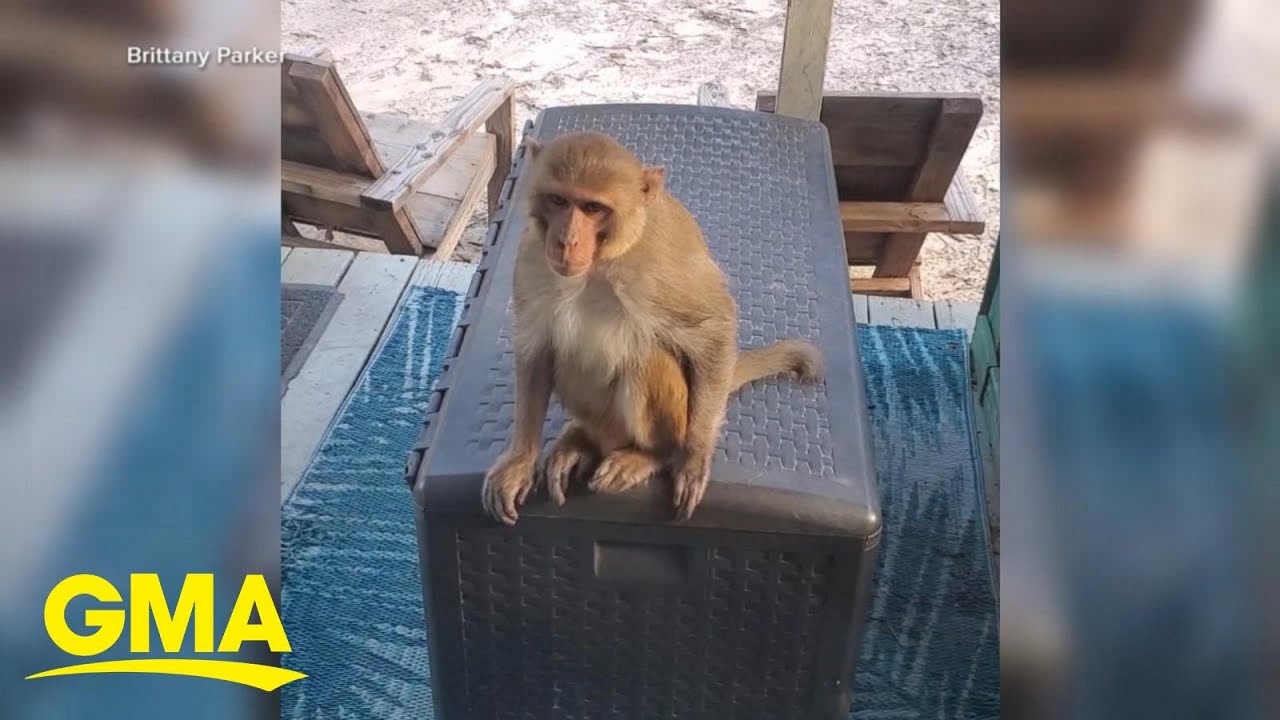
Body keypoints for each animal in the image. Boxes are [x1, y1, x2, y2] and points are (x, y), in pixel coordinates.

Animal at [481, 131, 822, 525]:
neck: (602, 262)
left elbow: (714, 328)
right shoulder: (533, 257)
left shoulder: (659, 267)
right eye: (558, 200)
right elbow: (536, 349)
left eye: (593, 208)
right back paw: (582, 440)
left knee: (647, 360)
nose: (566, 241)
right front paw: (519, 461)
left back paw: (651, 455)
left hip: (671, 416)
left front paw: (694, 456)